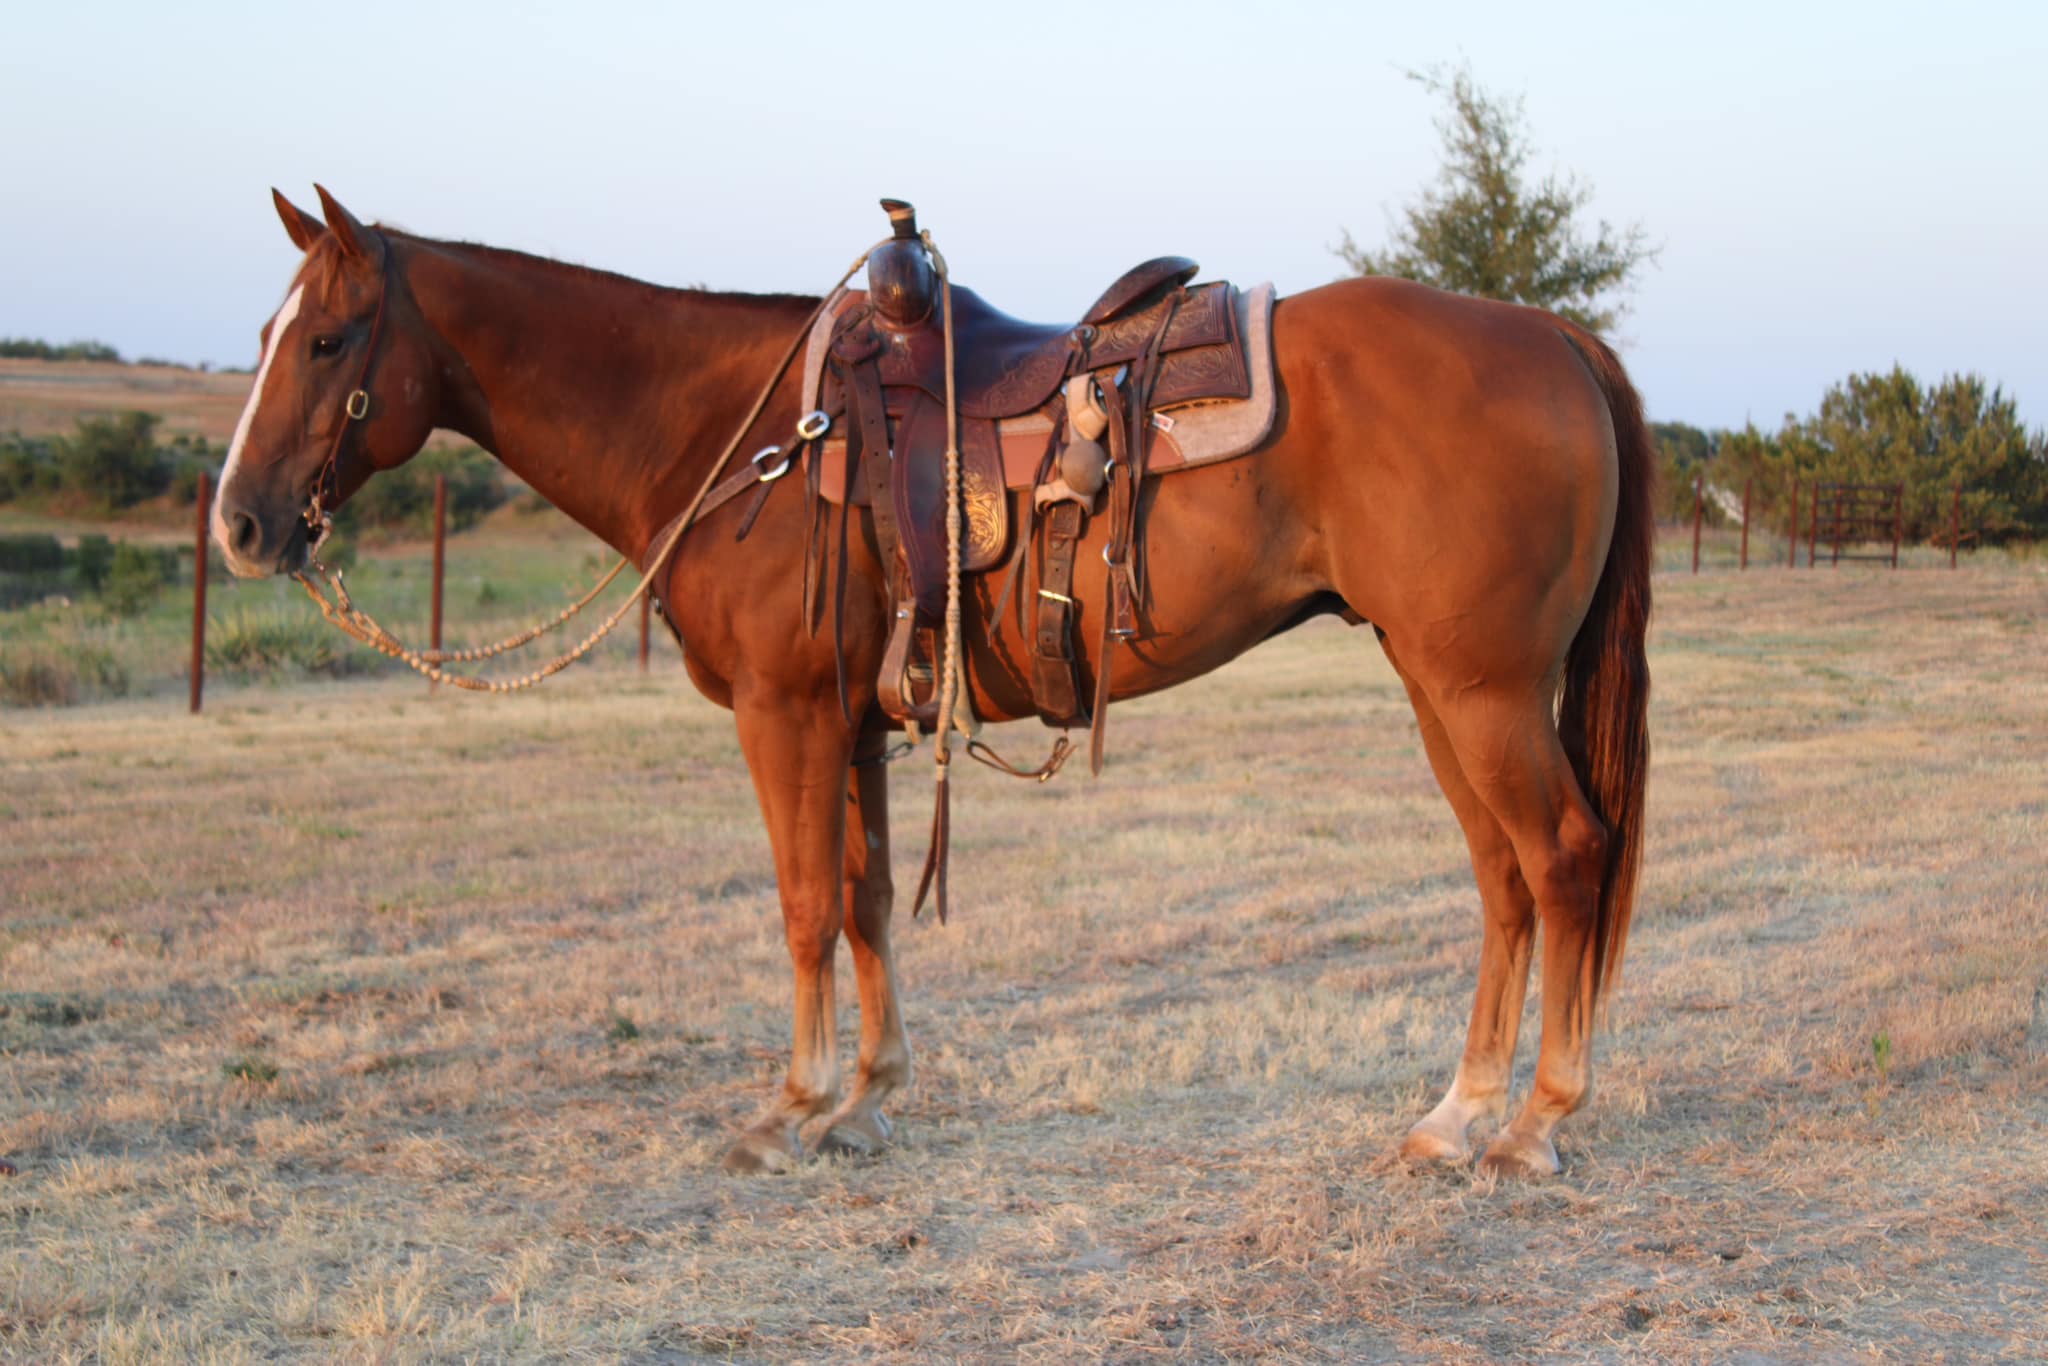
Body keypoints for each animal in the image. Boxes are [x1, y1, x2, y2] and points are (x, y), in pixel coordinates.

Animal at [212, 186, 1651, 1178]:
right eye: (271, 331)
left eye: (331, 339)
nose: (238, 523)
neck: (740, 437)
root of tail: (1556, 336)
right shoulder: (853, 722)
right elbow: (861, 903)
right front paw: (865, 1095)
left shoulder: (784, 713)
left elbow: (801, 906)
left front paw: (787, 1109)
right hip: (1443, 686)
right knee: (1504, 877)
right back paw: (1456, 1115)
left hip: (1482, 690)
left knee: (1566, 856)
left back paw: (1534, 1124)